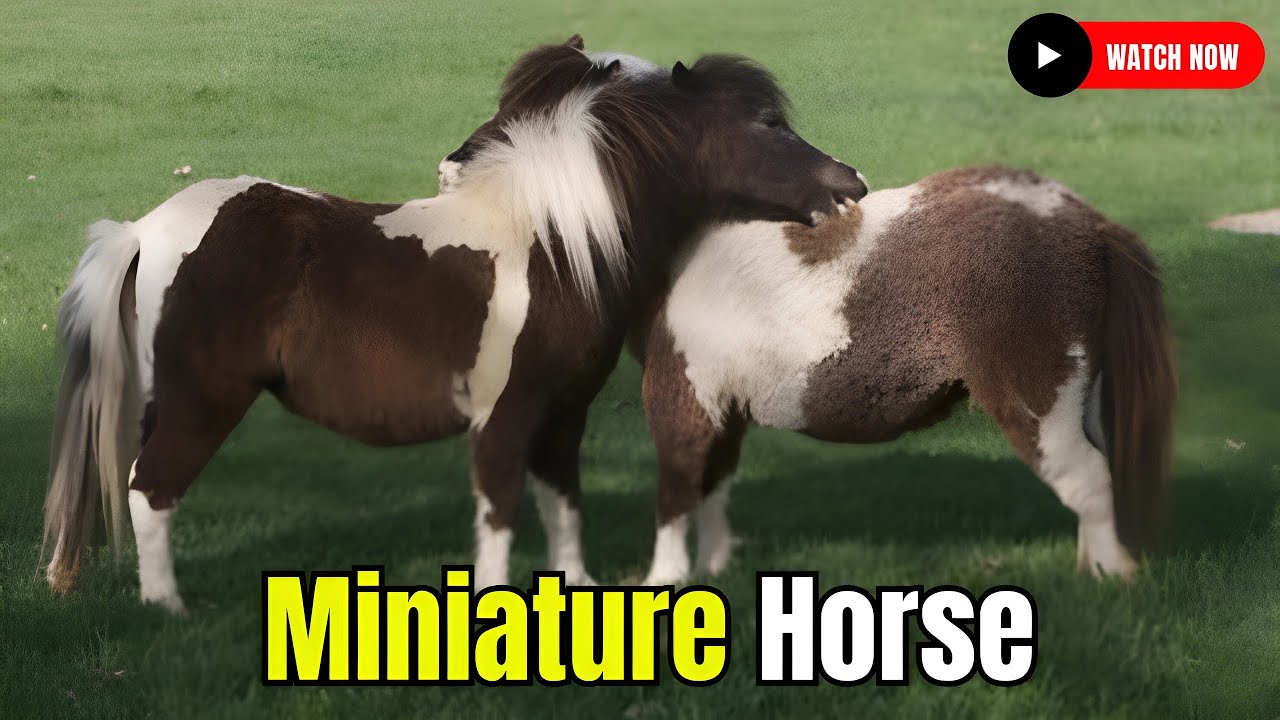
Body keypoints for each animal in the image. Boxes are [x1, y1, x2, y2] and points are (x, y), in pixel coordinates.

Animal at [42, 35, 868, 612]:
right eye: (766, 122)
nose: (851, 184)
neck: (553, 244)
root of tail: (143, 229)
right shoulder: (503, 418)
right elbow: (499, 513)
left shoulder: (562, 417)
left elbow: (562, 508)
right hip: (202, 401)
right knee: (151, 491)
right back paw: (168, 609)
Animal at [633, 165, 1177, 585]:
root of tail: (1091, 224)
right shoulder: (723, 414)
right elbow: (713, 488)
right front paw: (714, 566)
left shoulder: (684, 405)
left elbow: (676, 494)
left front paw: (664, 580)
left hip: (1040, 404)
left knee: (1087, 477)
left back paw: (1109, 577)